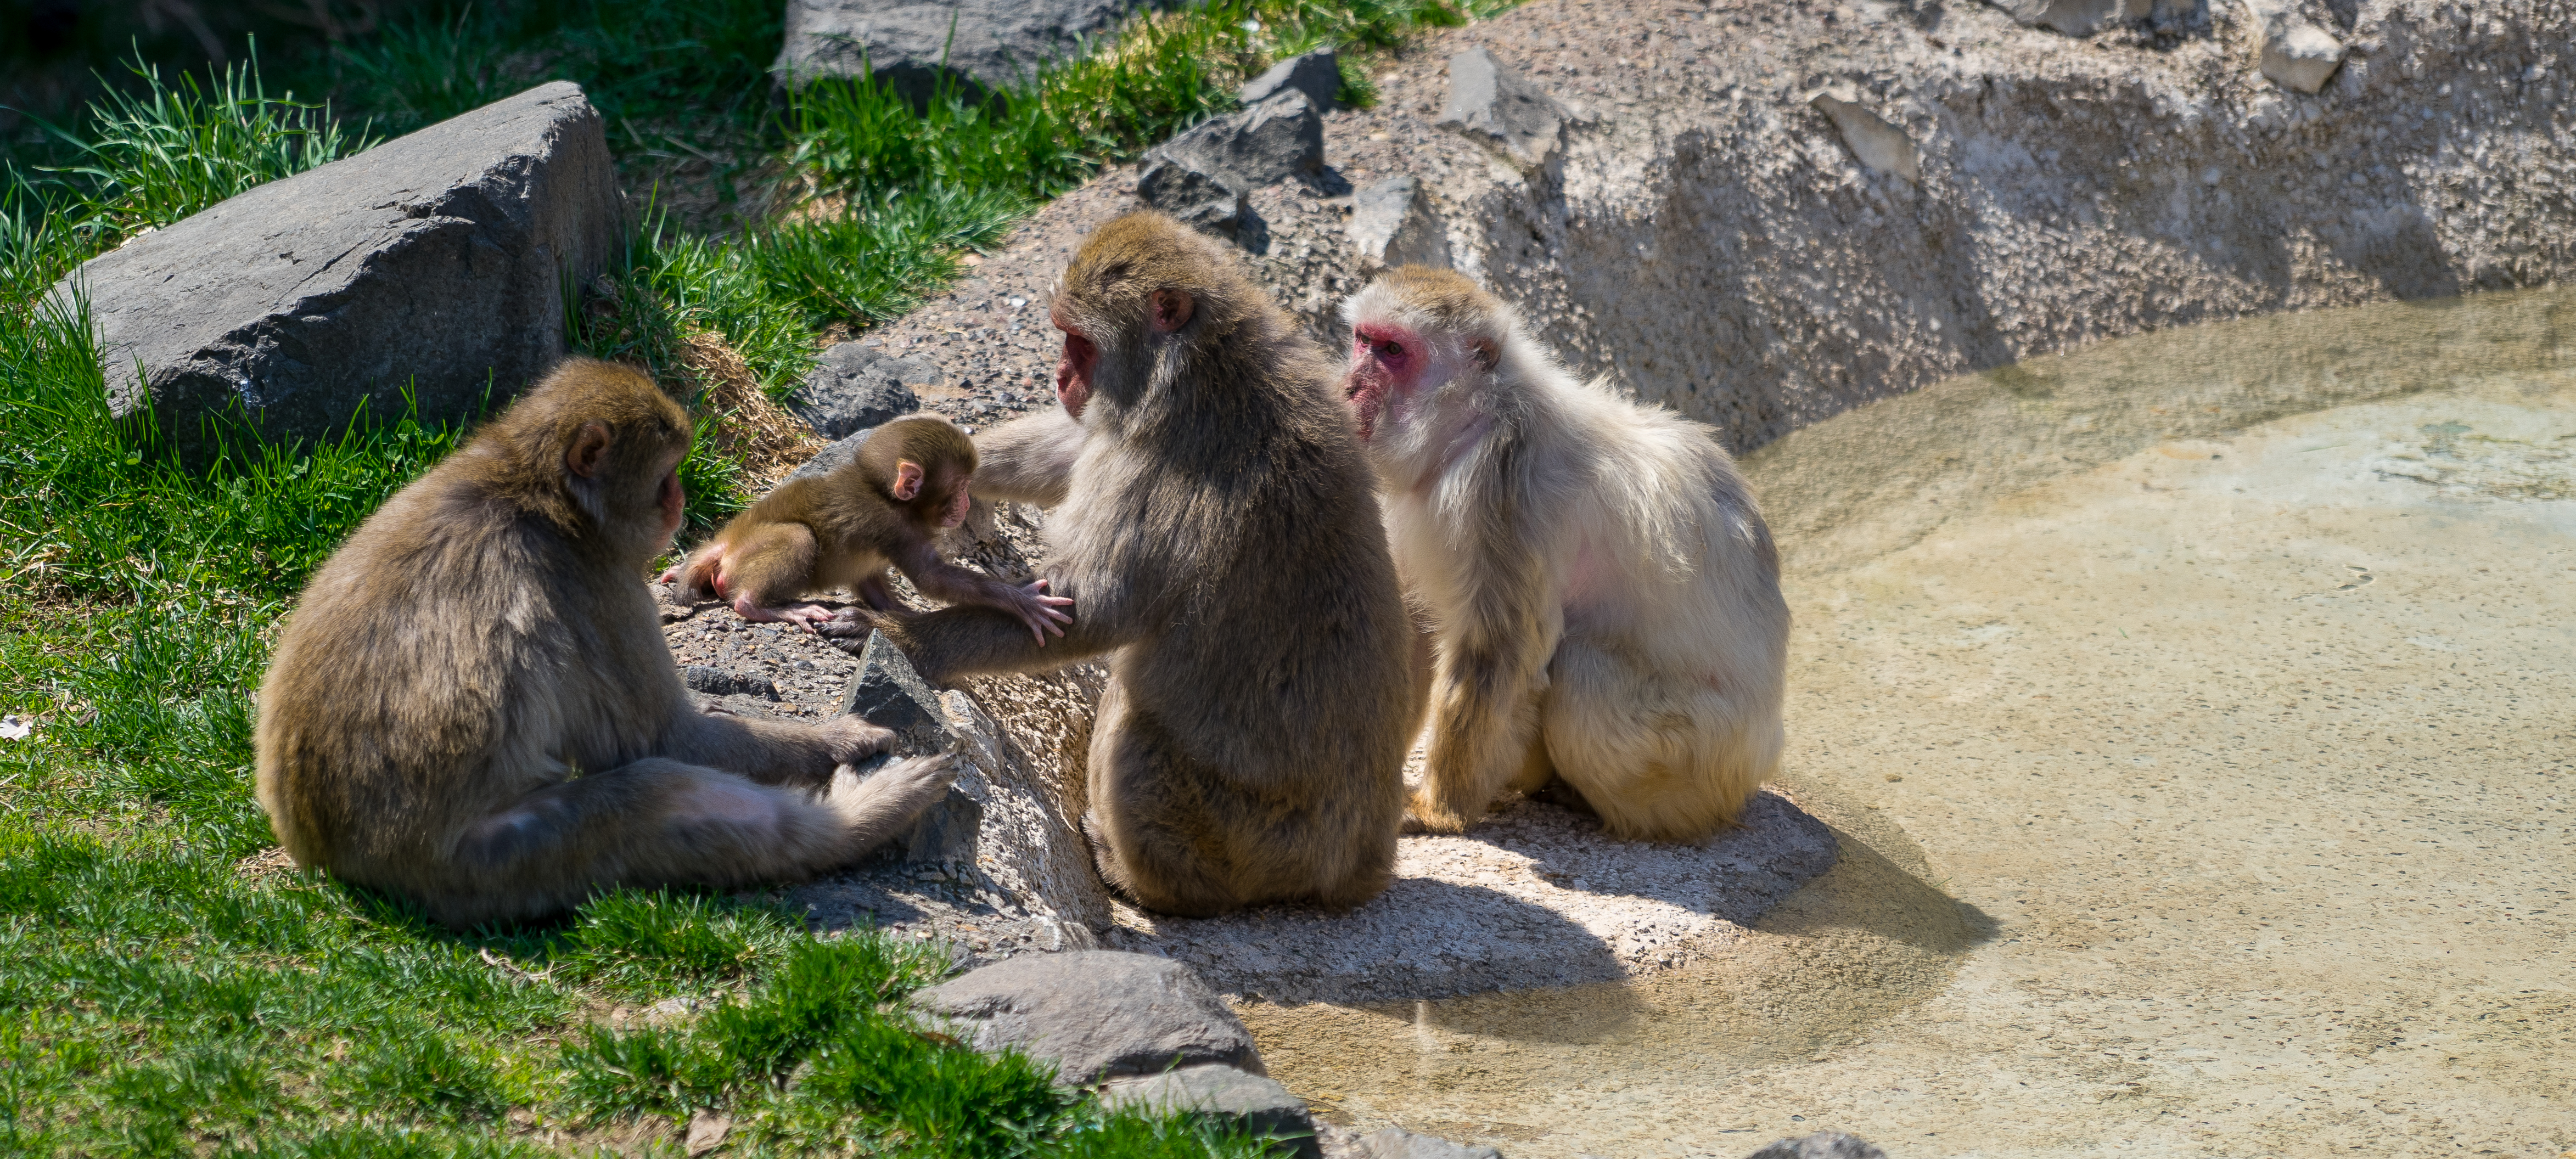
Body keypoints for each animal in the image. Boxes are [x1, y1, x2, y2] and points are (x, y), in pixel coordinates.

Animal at [253, 358, 954, 929]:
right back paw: (859, 821)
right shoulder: (598, 585)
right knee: (651, 797)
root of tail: (346, 868)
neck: (535, 490)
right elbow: (666, 739)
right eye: (666, 474)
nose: (680, 501)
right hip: (496, 863)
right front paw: (841, 738)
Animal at [658, 416, 1073, 642]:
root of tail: (728, 544)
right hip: (748, 557)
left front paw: (900, 615)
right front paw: (1019, 600)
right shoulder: (894, 527)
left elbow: (871, 580)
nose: (967, 504)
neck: (888, 497)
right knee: (796, 538)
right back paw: (759, 605)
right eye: (959, 488)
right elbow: (933, 579)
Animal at [861, 211, 1419, 918]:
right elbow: (1076, 448)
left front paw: (904, 639)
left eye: (1079, 342)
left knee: (1136, 729)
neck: (1206, 365)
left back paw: (1142, 880)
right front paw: (953, 475)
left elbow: (1089, 610)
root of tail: (1353, 868)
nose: (1060, 377)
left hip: (1245, 839)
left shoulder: (1172, 464)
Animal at [1337, 267, 1790, 843]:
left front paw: (1440, 810)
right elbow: (1411, 627)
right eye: (1363, 340)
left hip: (1704, 754)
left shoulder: (1502, 486)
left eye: (1394, 351)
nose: (1351, 386)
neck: (1476, 416)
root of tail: (1765, 746)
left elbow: (1500, 650)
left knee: (1579, 669)